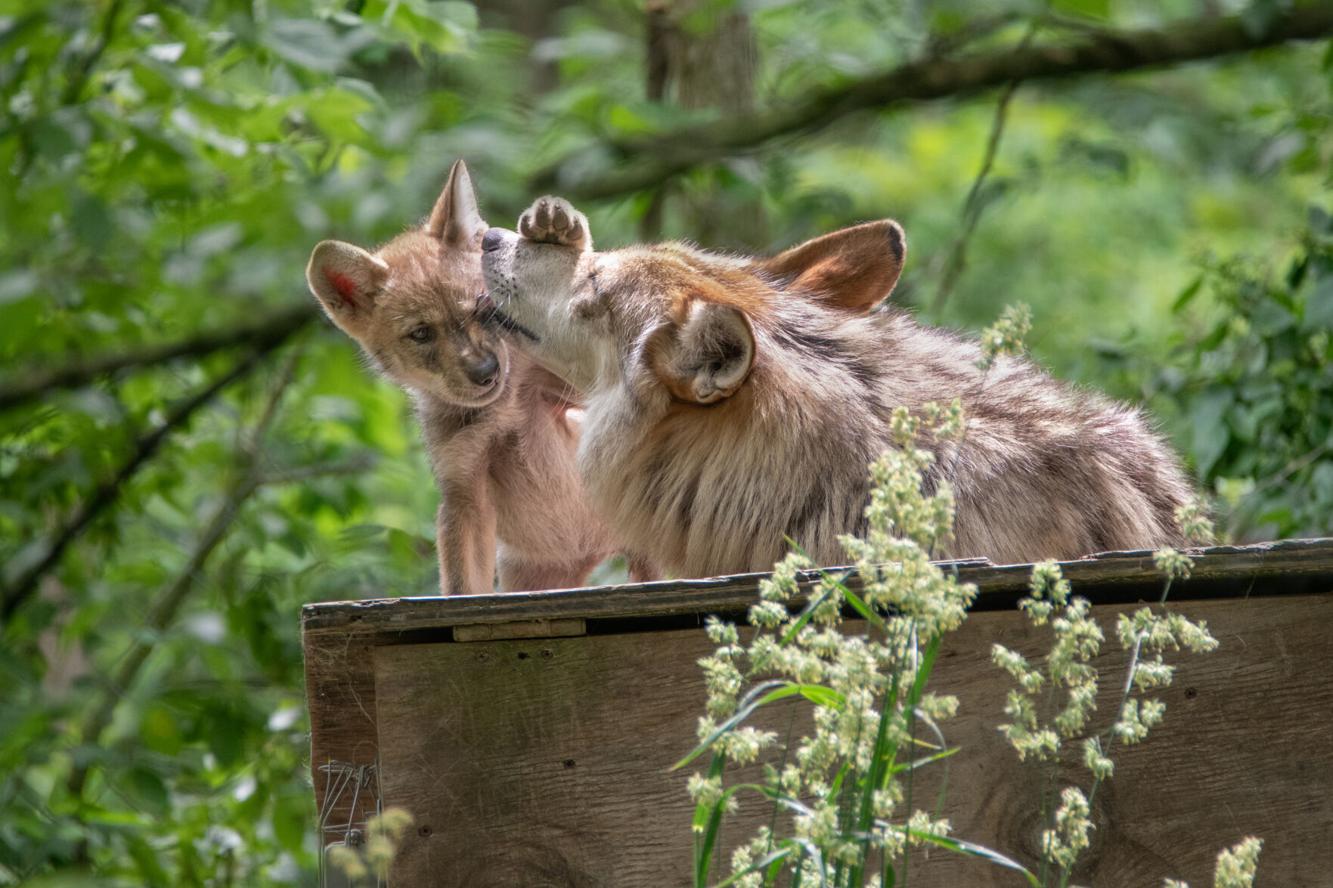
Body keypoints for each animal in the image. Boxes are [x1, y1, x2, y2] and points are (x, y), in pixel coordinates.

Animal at [306, 164, 644, 594]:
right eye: (421, 334)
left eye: (484, 309)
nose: (486, 371)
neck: (503, 411)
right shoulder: (465, 492)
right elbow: (462, 589)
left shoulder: (573, 395)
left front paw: (558, 229)